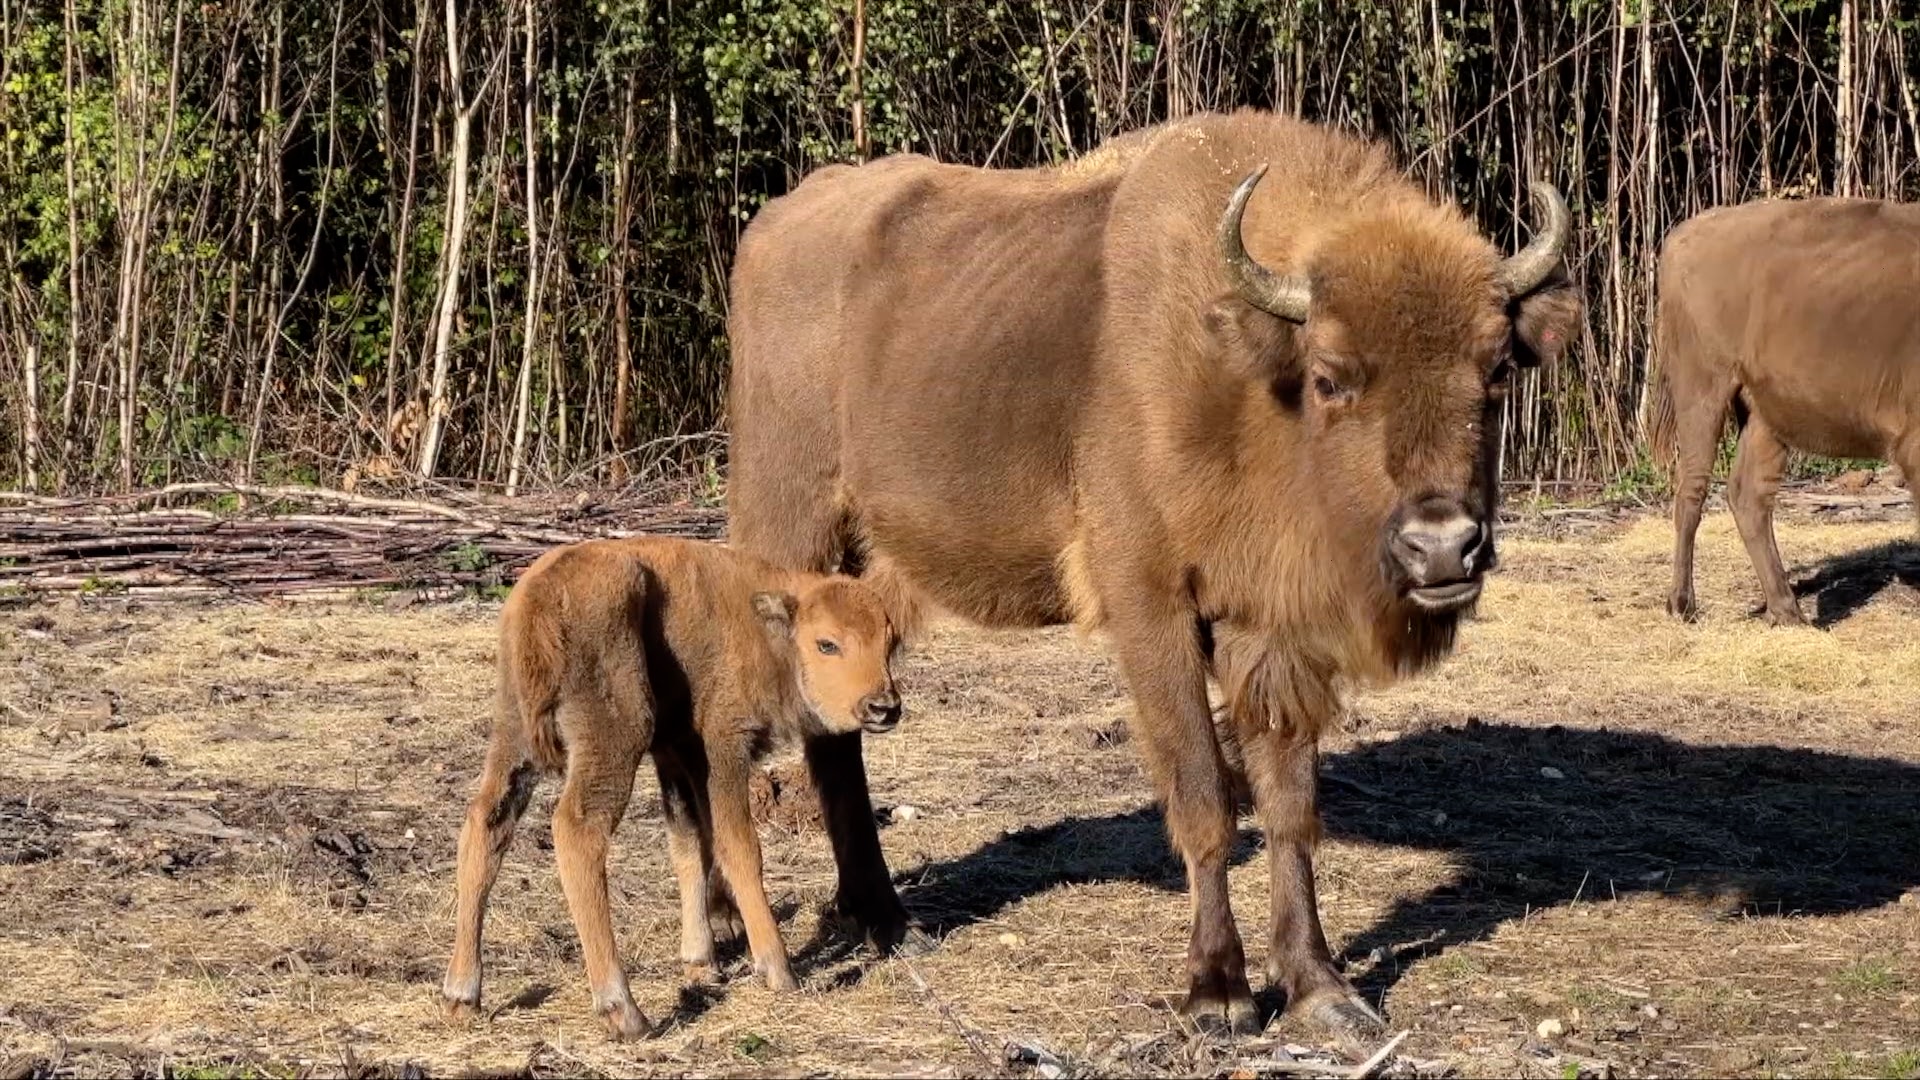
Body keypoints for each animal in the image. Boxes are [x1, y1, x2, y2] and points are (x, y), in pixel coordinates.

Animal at [440, 537, 903, 1040]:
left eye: (890, 642)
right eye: (827, 644)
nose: (883, 707)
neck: (766, 627)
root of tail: (539, 595)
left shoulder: (676, 755)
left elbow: (689, 845)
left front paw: (702, 962)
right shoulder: (723, 747)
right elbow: (739, 847)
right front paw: (778, 970)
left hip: (513, 737)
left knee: (486, 824)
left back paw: (461, 996)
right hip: (614, 738)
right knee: (577, 833)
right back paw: (625, 1012)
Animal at [723, 109, 1581, 1046]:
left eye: (1495, 371)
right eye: (1330, 377)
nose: (1443, 548)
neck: (1244, 373)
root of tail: (773, 227)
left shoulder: (1266, 631)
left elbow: (1289, 806)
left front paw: (1319, 988)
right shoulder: (1152, 608)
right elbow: (1205, 797)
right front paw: (1218, 995)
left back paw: (883, 920)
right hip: (792, 536)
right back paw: (854, 922)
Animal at [1648, 197, 1920, 627]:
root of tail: (1683, 234)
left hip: (1763, 414)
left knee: (1749, 495)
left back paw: (1788, 612)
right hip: (1702, 387)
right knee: (1691, 487)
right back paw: (1682, 604)